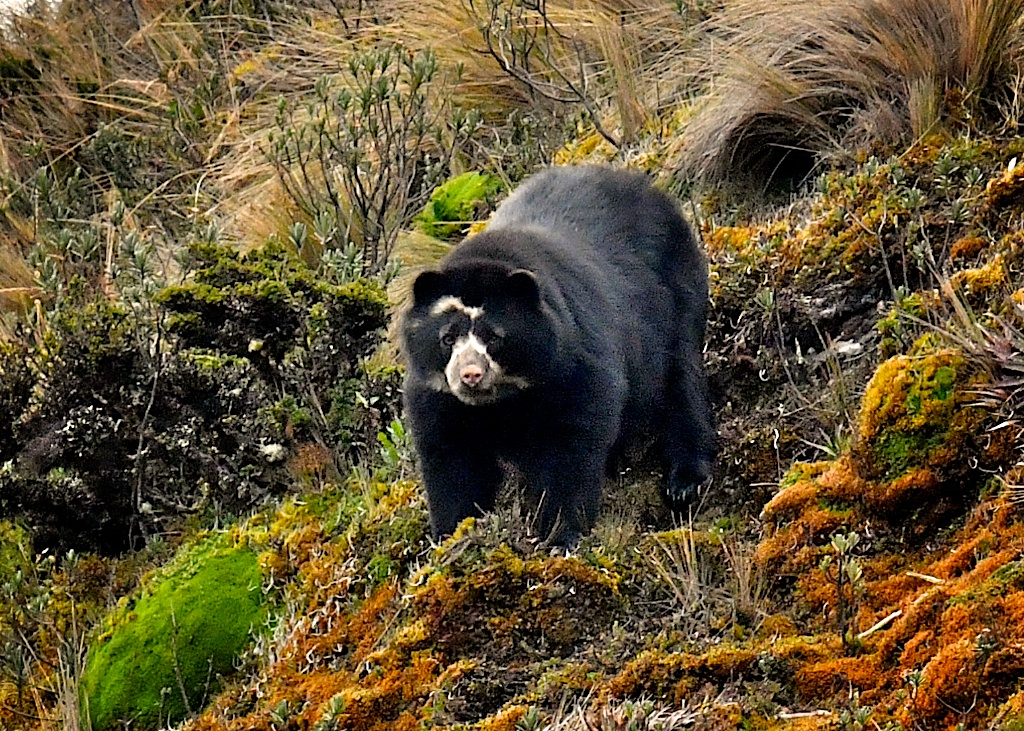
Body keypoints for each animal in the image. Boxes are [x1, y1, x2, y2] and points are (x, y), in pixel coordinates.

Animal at [399, 165, 714, 547]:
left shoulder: (571, 368)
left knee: (682, 382)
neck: (503, 400)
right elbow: (452, 460)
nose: (470, 375)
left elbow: (570, 448)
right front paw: (453, 534)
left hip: (679, 294)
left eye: (494, 336)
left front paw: (561, 534)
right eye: (447, 338)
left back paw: (685, 482)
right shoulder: (438, 397)